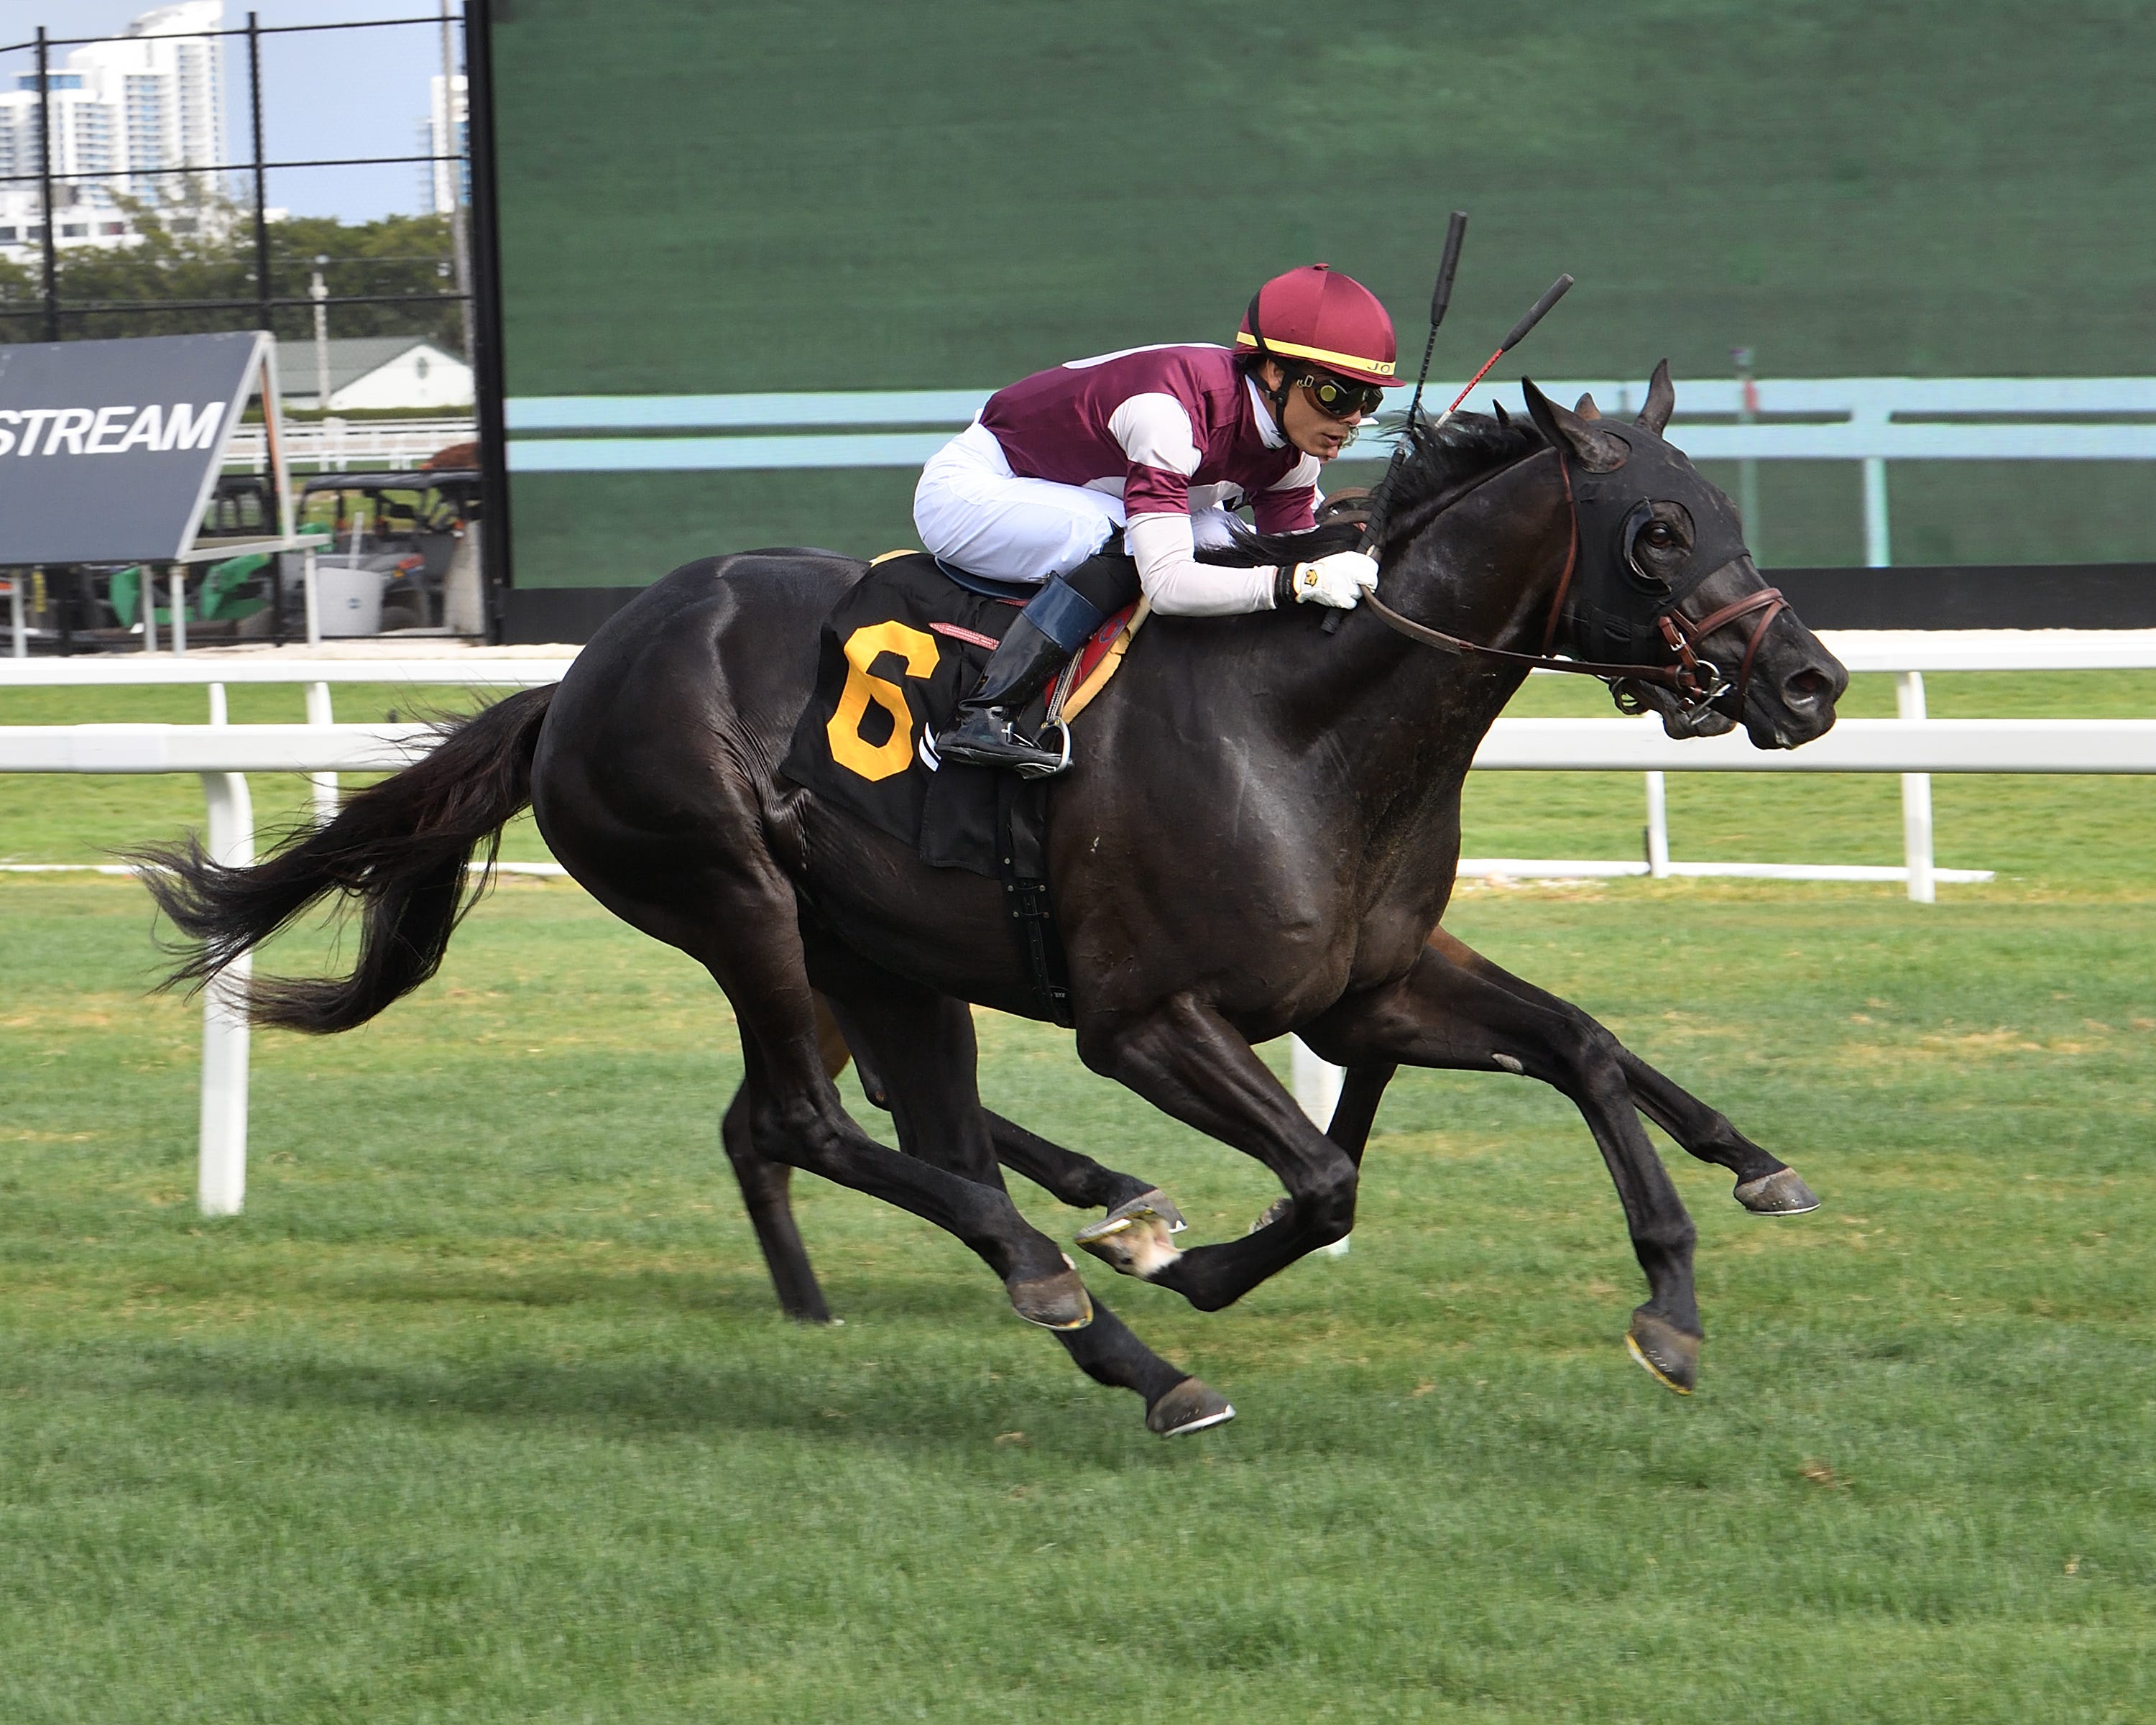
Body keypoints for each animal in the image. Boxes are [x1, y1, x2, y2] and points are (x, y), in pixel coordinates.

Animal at [137, 369, 1848, 1436]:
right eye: (1659, 532)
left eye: (1724, 509)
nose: (1810, 682)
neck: (1307, 724)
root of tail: (572, 682)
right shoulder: (1144, 1021)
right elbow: (1323, 1180)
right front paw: (1198, 1268)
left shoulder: (1369, 984)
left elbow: (1581, 1049)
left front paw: (1681, 1290)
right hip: (737, 900)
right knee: (810, 1124)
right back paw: (1080, 1280)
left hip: (883, 954)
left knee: (906, 1131)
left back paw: (1114, 1319)